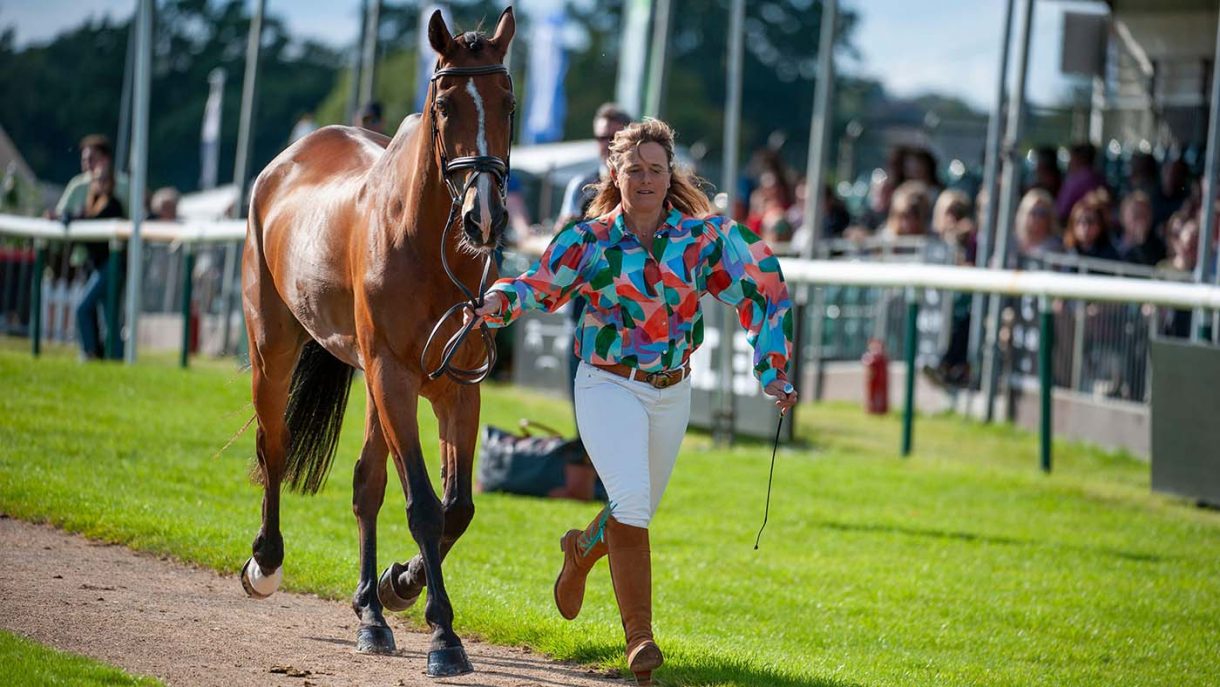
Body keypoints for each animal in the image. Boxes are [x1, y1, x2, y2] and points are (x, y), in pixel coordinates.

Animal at [237, 8, 515, 678]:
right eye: (444, 105)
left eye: (509, 101)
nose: (485, 219)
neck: (428, 245)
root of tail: (288, 159)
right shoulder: (394, 377)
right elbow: (424, 505)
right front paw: (444, 636)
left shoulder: (456, 387)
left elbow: (455, 506)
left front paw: (399, 585)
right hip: (273, 350)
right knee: (274, 447)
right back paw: (266, 560)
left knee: (366, 485)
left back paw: (371, 611)